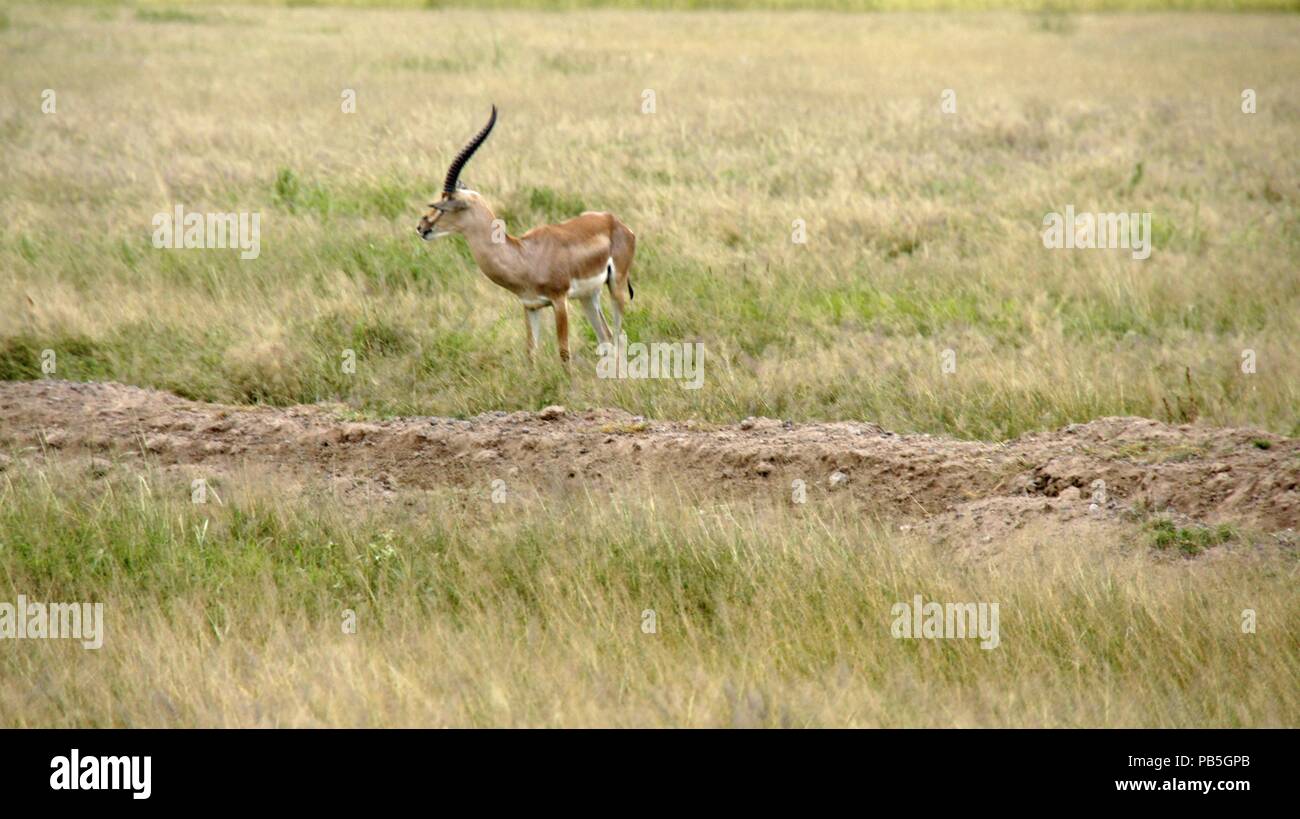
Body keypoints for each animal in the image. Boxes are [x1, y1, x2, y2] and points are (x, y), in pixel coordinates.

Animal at [417, 106, 636, 365]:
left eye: (444, 206)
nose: (422, 226)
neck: (525, 255)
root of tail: (616, 222)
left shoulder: (559, 300)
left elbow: (564, 352)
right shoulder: (530, 306)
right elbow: (531, 353)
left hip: (616, 286)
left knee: (619, 336)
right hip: (588, 296)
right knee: (606, 336)